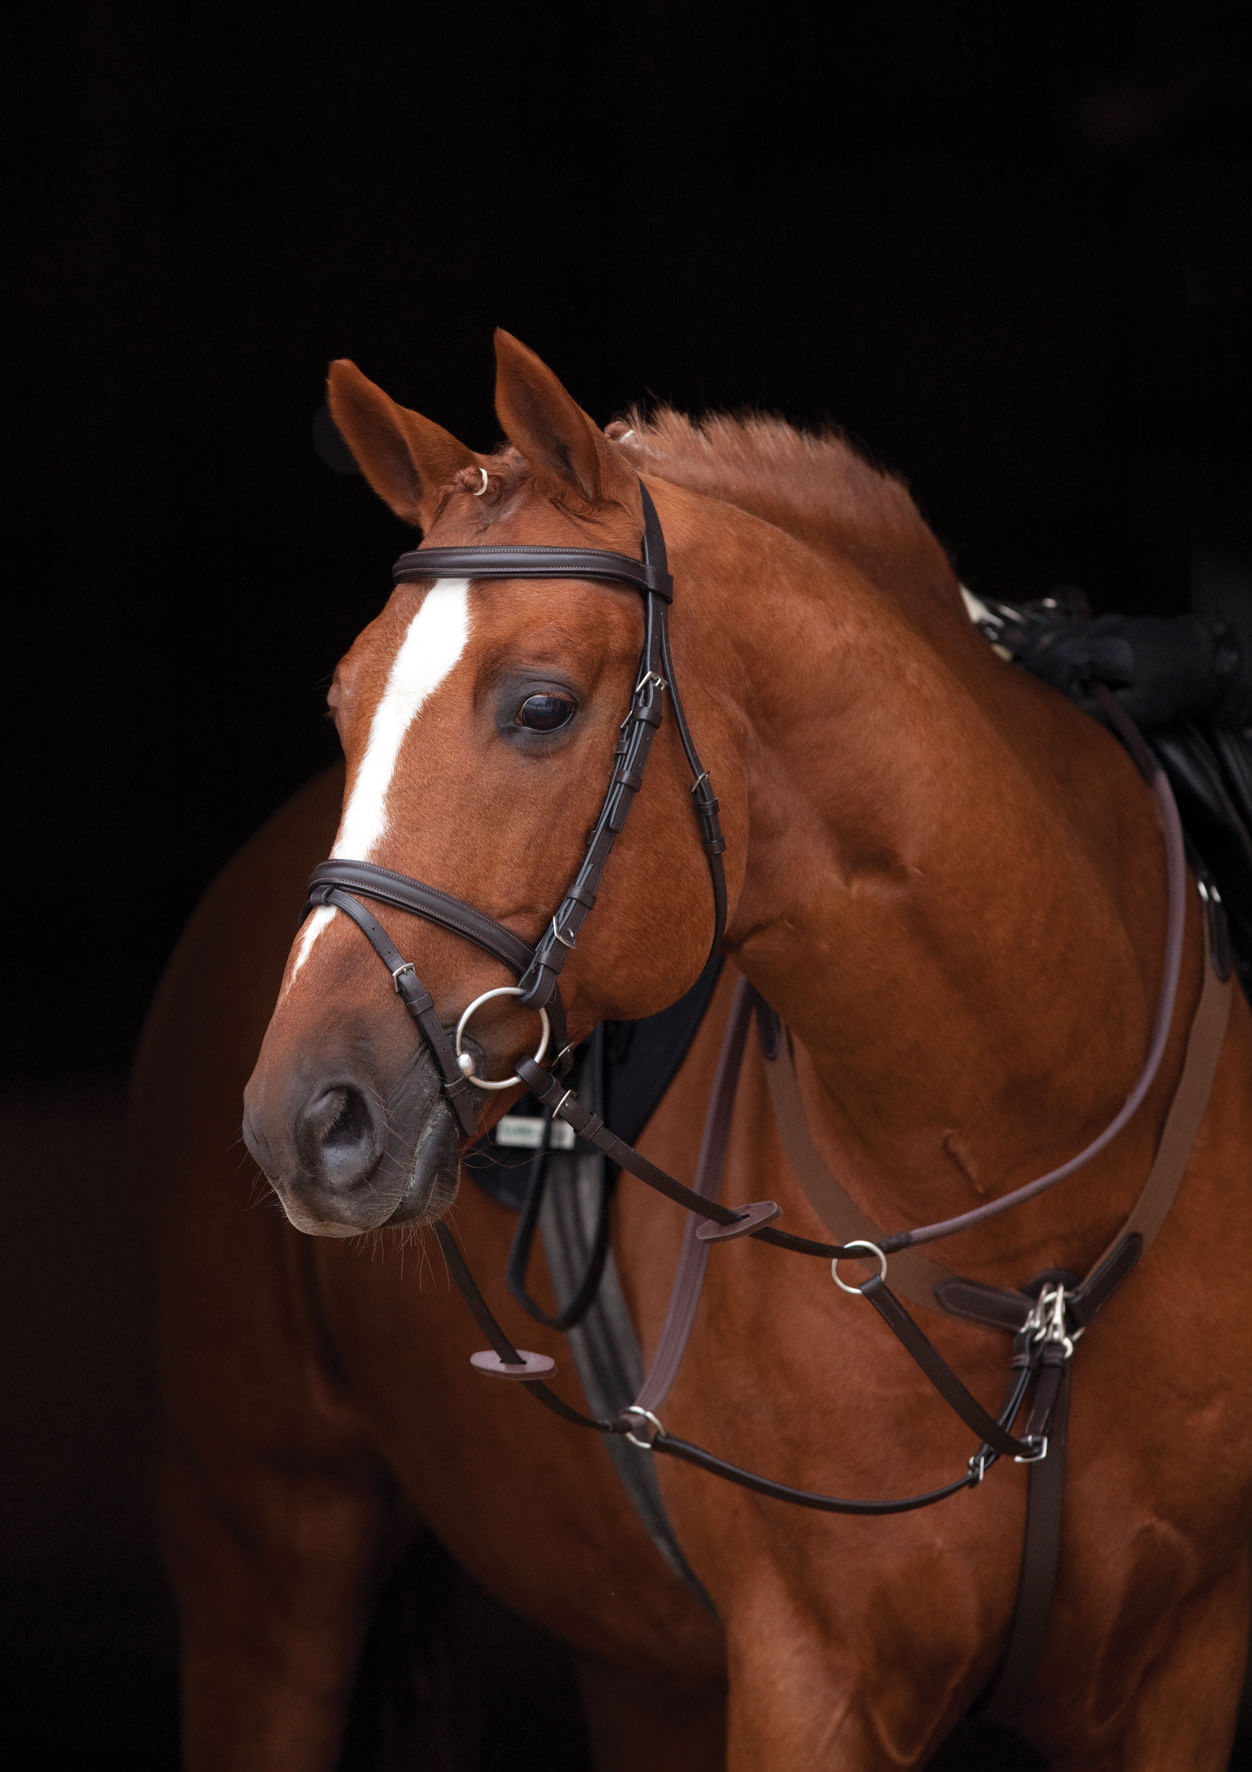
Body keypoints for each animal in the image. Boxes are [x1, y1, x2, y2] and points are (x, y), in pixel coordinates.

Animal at [131, 329, 1252, 1770]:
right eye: (343, 709)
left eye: (541, 707)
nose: (303, 1119)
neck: (1029, 1198)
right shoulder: (811, 1676)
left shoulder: (1183, 1666)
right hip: (265, 1564)